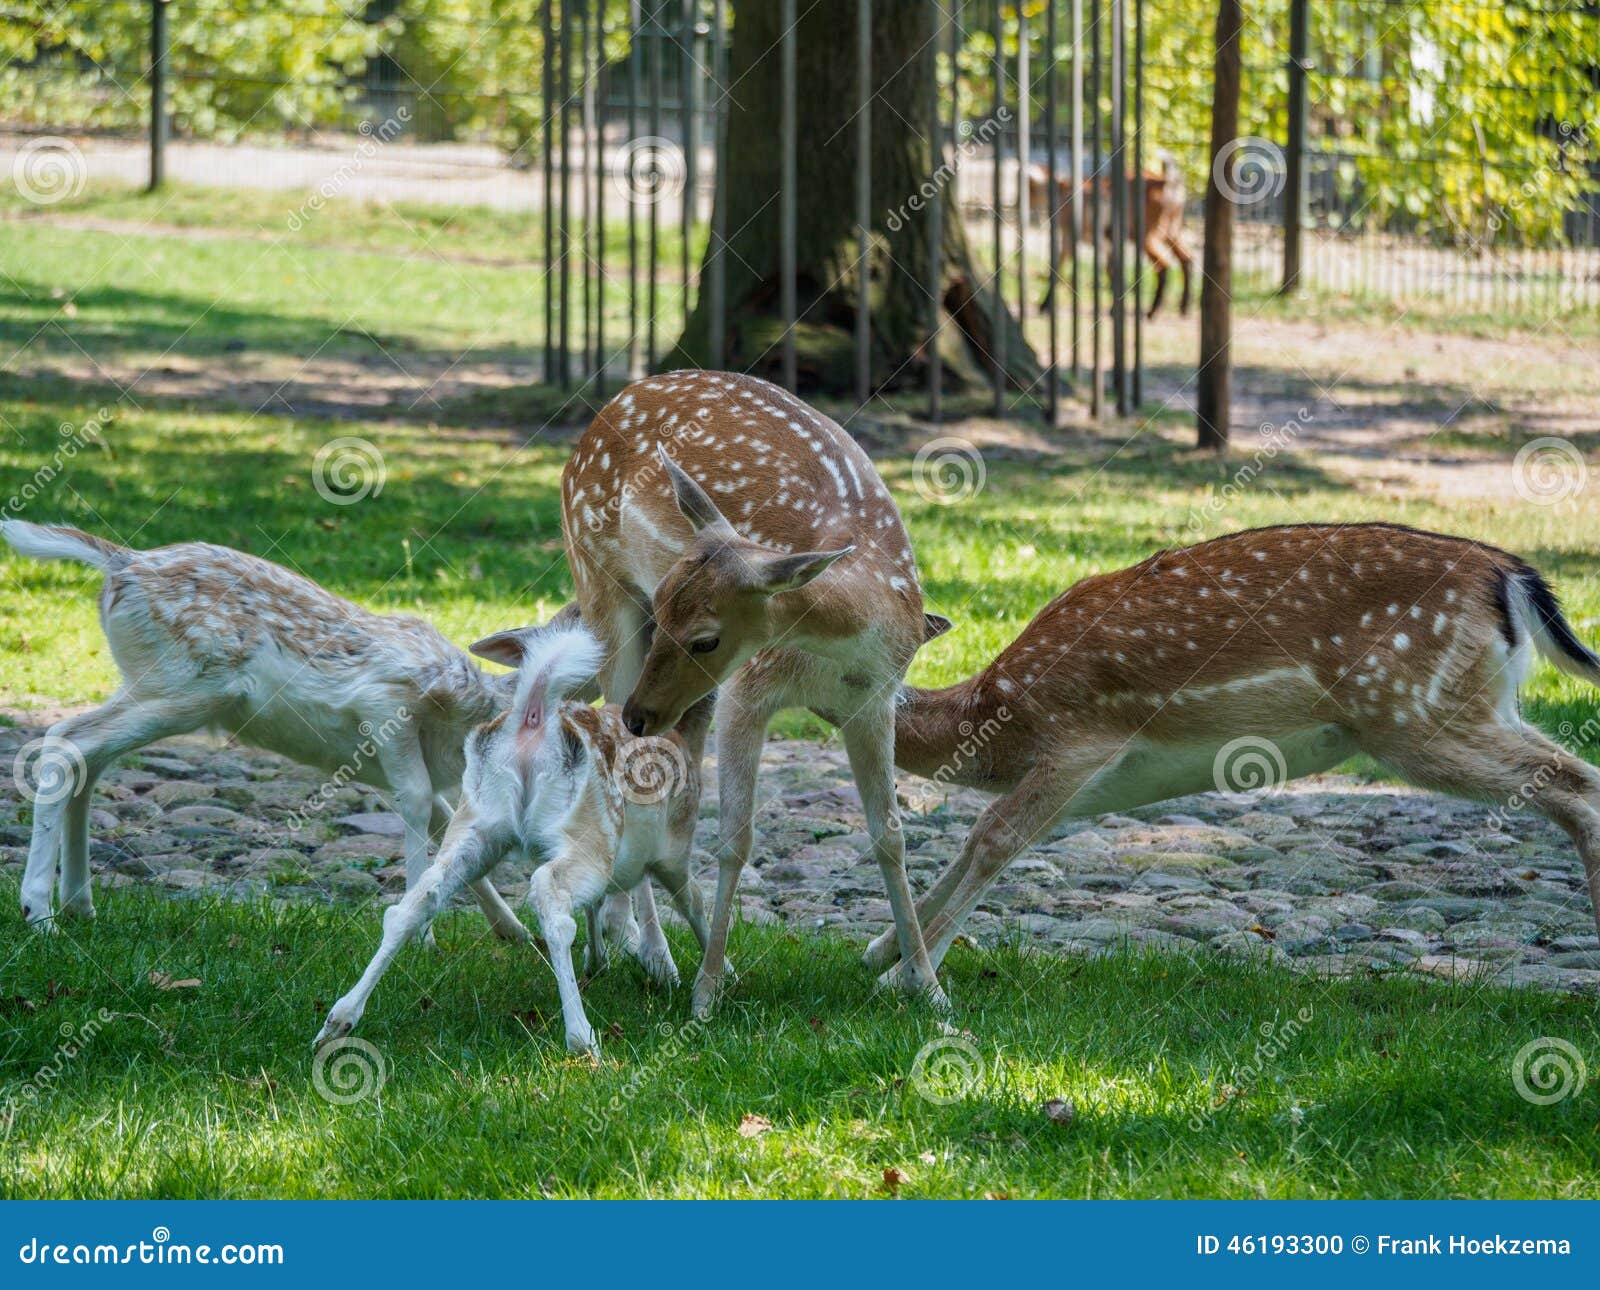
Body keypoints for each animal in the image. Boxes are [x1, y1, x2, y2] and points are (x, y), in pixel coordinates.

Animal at [0, 519, 657, 969]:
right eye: (589, 621)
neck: (468, 713)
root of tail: (120, 565)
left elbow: (447, 818)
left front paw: (509, 930)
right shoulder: (385, 703)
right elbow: (417, 802)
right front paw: (424, 936)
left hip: (151, 683)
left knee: (89, 759)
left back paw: (79, 904)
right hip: (183, 683)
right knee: (64, 742)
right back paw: (38, 912)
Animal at [316, 620, 713, 1056]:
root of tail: (530, 716)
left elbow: (599, 907)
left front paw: (599, 962)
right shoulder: (674, 848)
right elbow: (692, 902)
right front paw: (715, 975)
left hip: (478, 822)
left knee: (416, 899)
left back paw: (337, 1020)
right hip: (588, 830)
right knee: (551, 896)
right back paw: (581, 1037)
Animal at [561, 369, 949, 1017]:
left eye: (706, 638)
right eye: (665, 602)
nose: (642, 714)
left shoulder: (874, 701)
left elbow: (890, 836)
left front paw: (929, 988)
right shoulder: (748, 691)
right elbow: (735, 841)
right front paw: (707, 992)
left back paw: (622, 934)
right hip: (600, 591)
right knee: (630, 766)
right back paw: (658, 958)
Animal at [865, 522, 1600, 980]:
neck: (987, 721)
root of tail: (1510, 574)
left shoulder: (1079, 739)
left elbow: (994, 835)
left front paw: (906, 978)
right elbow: (973, 840)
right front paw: (879, 950)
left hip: (1413, 713)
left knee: (1575, 780)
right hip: (1476, 702)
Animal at [1029, 153, 1194, 319]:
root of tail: (1167, 182)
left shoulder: (1075, 236)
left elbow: (1059, 266)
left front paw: (1044, 306)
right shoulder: (1105, 241)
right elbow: (1111, 269)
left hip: (1147, 236)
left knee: (1163, 266)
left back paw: (1153, 311)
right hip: (1171, 233)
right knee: (1186, 259)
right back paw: (1184, 308)